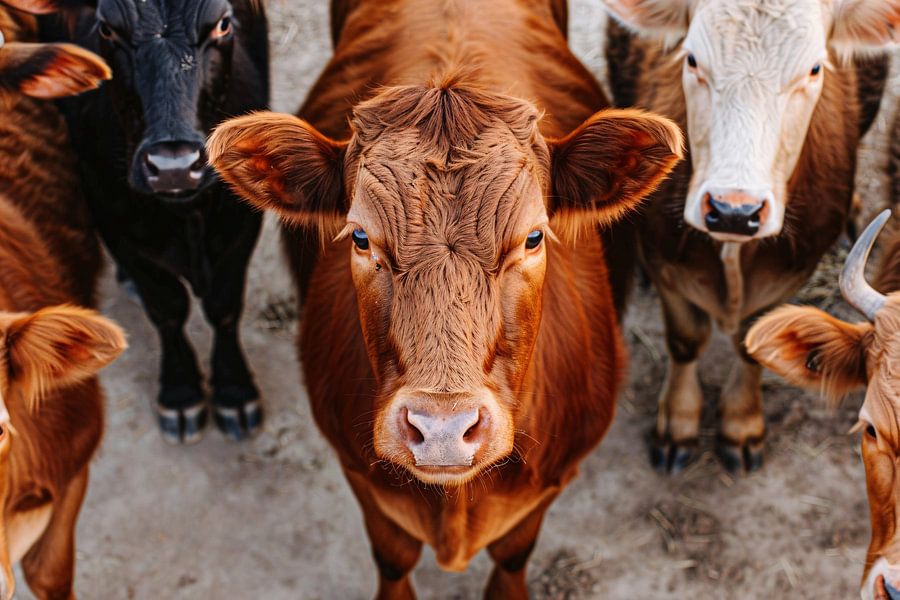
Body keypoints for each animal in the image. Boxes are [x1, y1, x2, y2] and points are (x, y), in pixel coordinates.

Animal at [32, 0, 269, 444]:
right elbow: (168, 309)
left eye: (223, 23)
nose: (173, 168)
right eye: (107, 29)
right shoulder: (112, 220)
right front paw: (181, 394)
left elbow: (224, 307)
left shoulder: (241, 223)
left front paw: (234, 392)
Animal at [207, 0, 682, 596]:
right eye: (360, 237)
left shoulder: (550, 483)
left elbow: (513, 554)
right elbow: (393, 558)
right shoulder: (360, 476)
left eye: (534, 236)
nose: (442, 431)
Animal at [601, 0, 898, 473]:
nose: (733, 211)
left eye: (815, 68)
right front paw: (678, 425)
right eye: (691, 59)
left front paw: (741, 425)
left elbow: (750, 344)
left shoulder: (790, 272)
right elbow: (685, 341)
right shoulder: (667, 262)